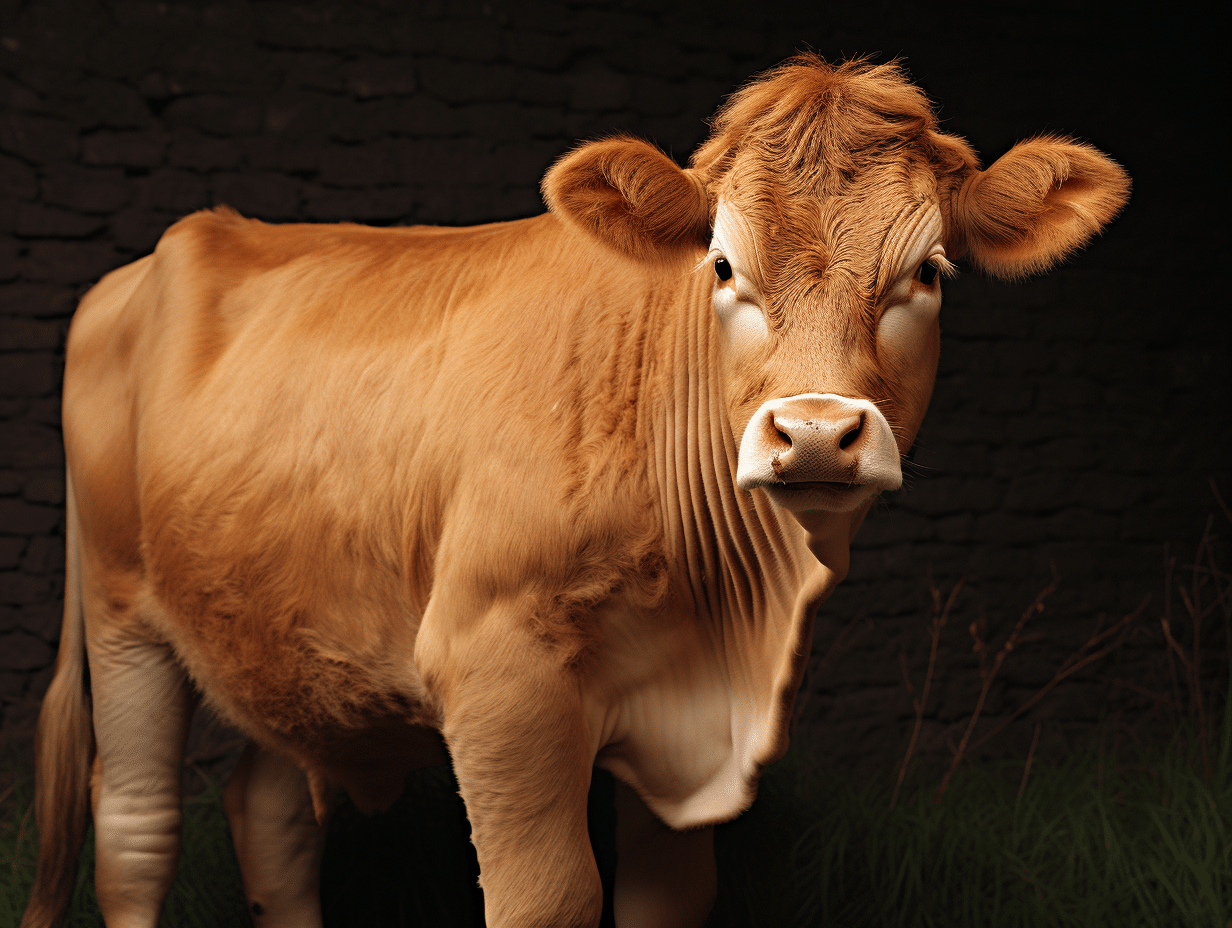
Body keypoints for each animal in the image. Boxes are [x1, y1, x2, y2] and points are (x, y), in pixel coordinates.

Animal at [22, 55, 1129, 928]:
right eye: (720, 266)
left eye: (929, 274)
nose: (815, 433)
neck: (729, 630)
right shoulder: (497, 672)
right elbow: (549, 896)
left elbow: (669, 897)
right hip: (122, 612)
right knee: (135, 832)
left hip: (285, 633)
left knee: (270, 815)